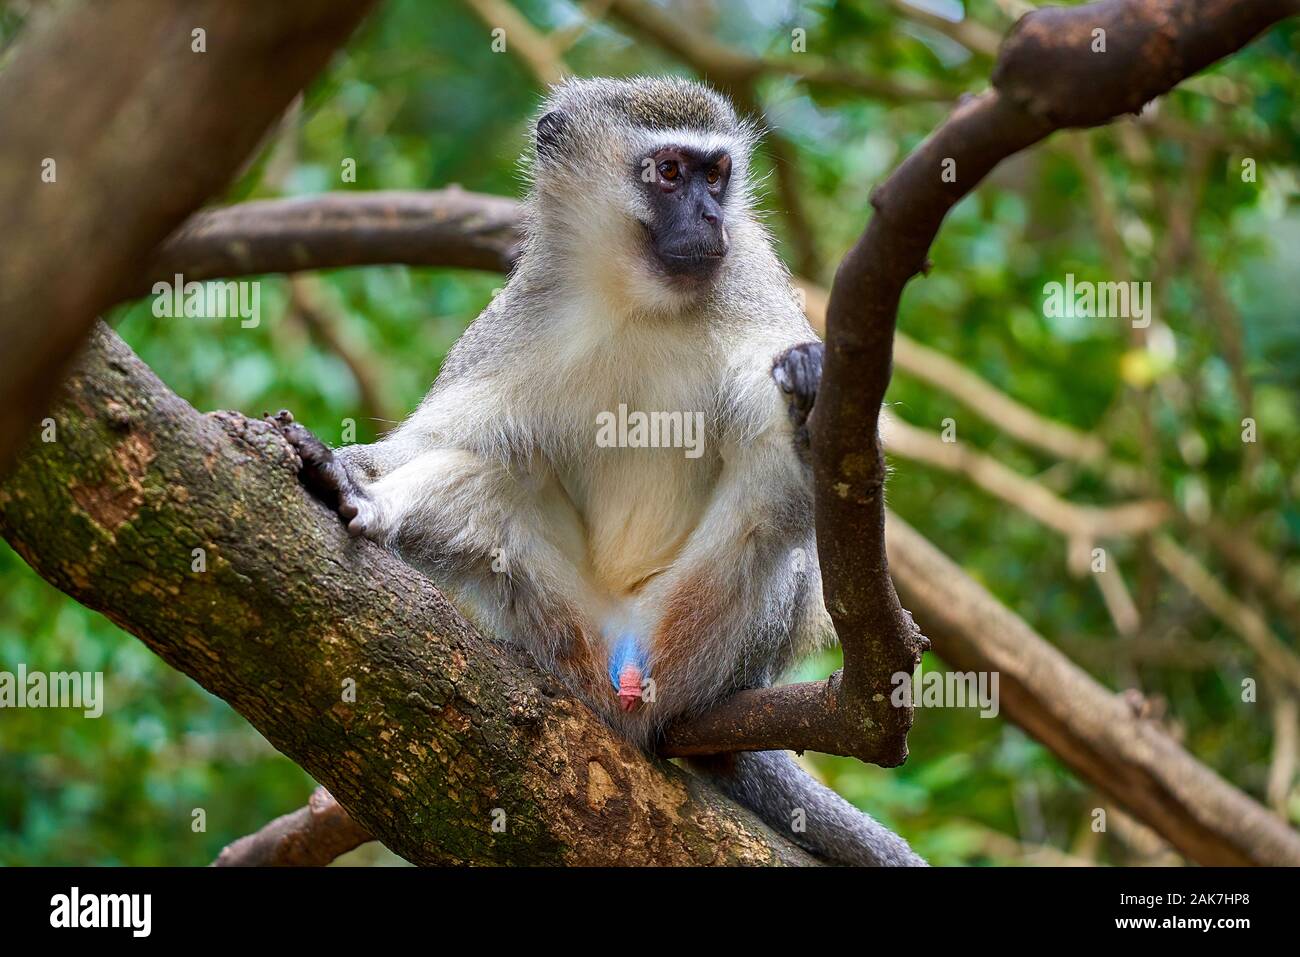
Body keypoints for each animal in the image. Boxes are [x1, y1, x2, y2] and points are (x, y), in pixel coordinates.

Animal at [272, 76, 924, 867]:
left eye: (717, 175)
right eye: (669, 172)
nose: (711, 217)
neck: (639, 297)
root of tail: (624, 659)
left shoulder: (753, 283)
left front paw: (809, 396)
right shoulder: (522, 315)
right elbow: (438, 437)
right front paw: (342, 464)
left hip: (707, 636)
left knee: (773, 513)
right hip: (556, 615)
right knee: (488, 479)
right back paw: (363, 500)